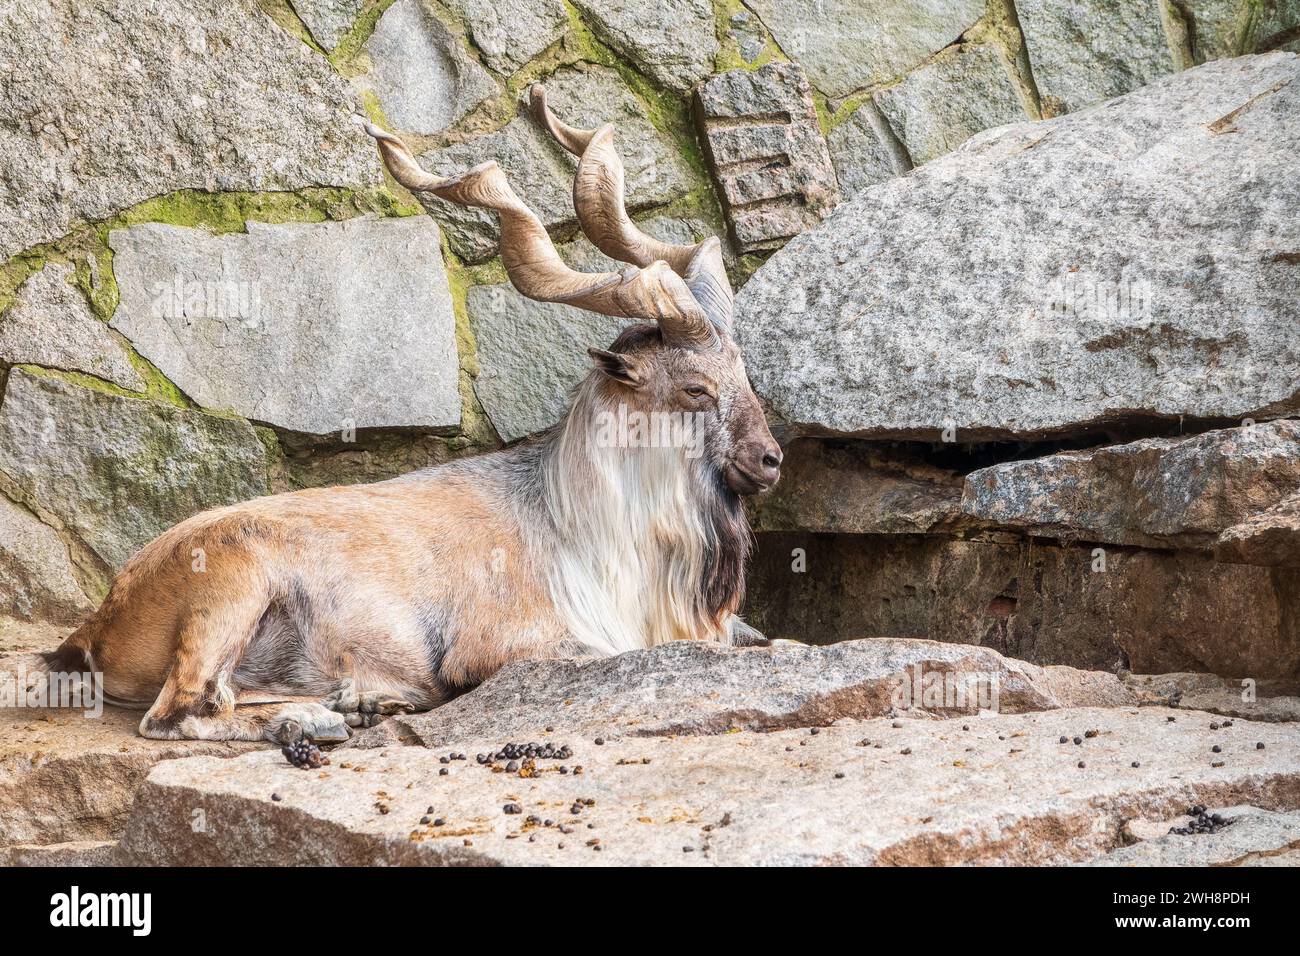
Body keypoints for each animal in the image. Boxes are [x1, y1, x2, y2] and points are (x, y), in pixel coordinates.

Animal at [44, 87, 783, 743]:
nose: (769, 460)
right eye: (694, 389)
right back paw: (322, 719)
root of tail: (101, 620)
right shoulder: (511, 643)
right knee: (181, 711)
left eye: (741, 371)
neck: (572, 521)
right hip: (232, 588)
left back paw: (367, 703)